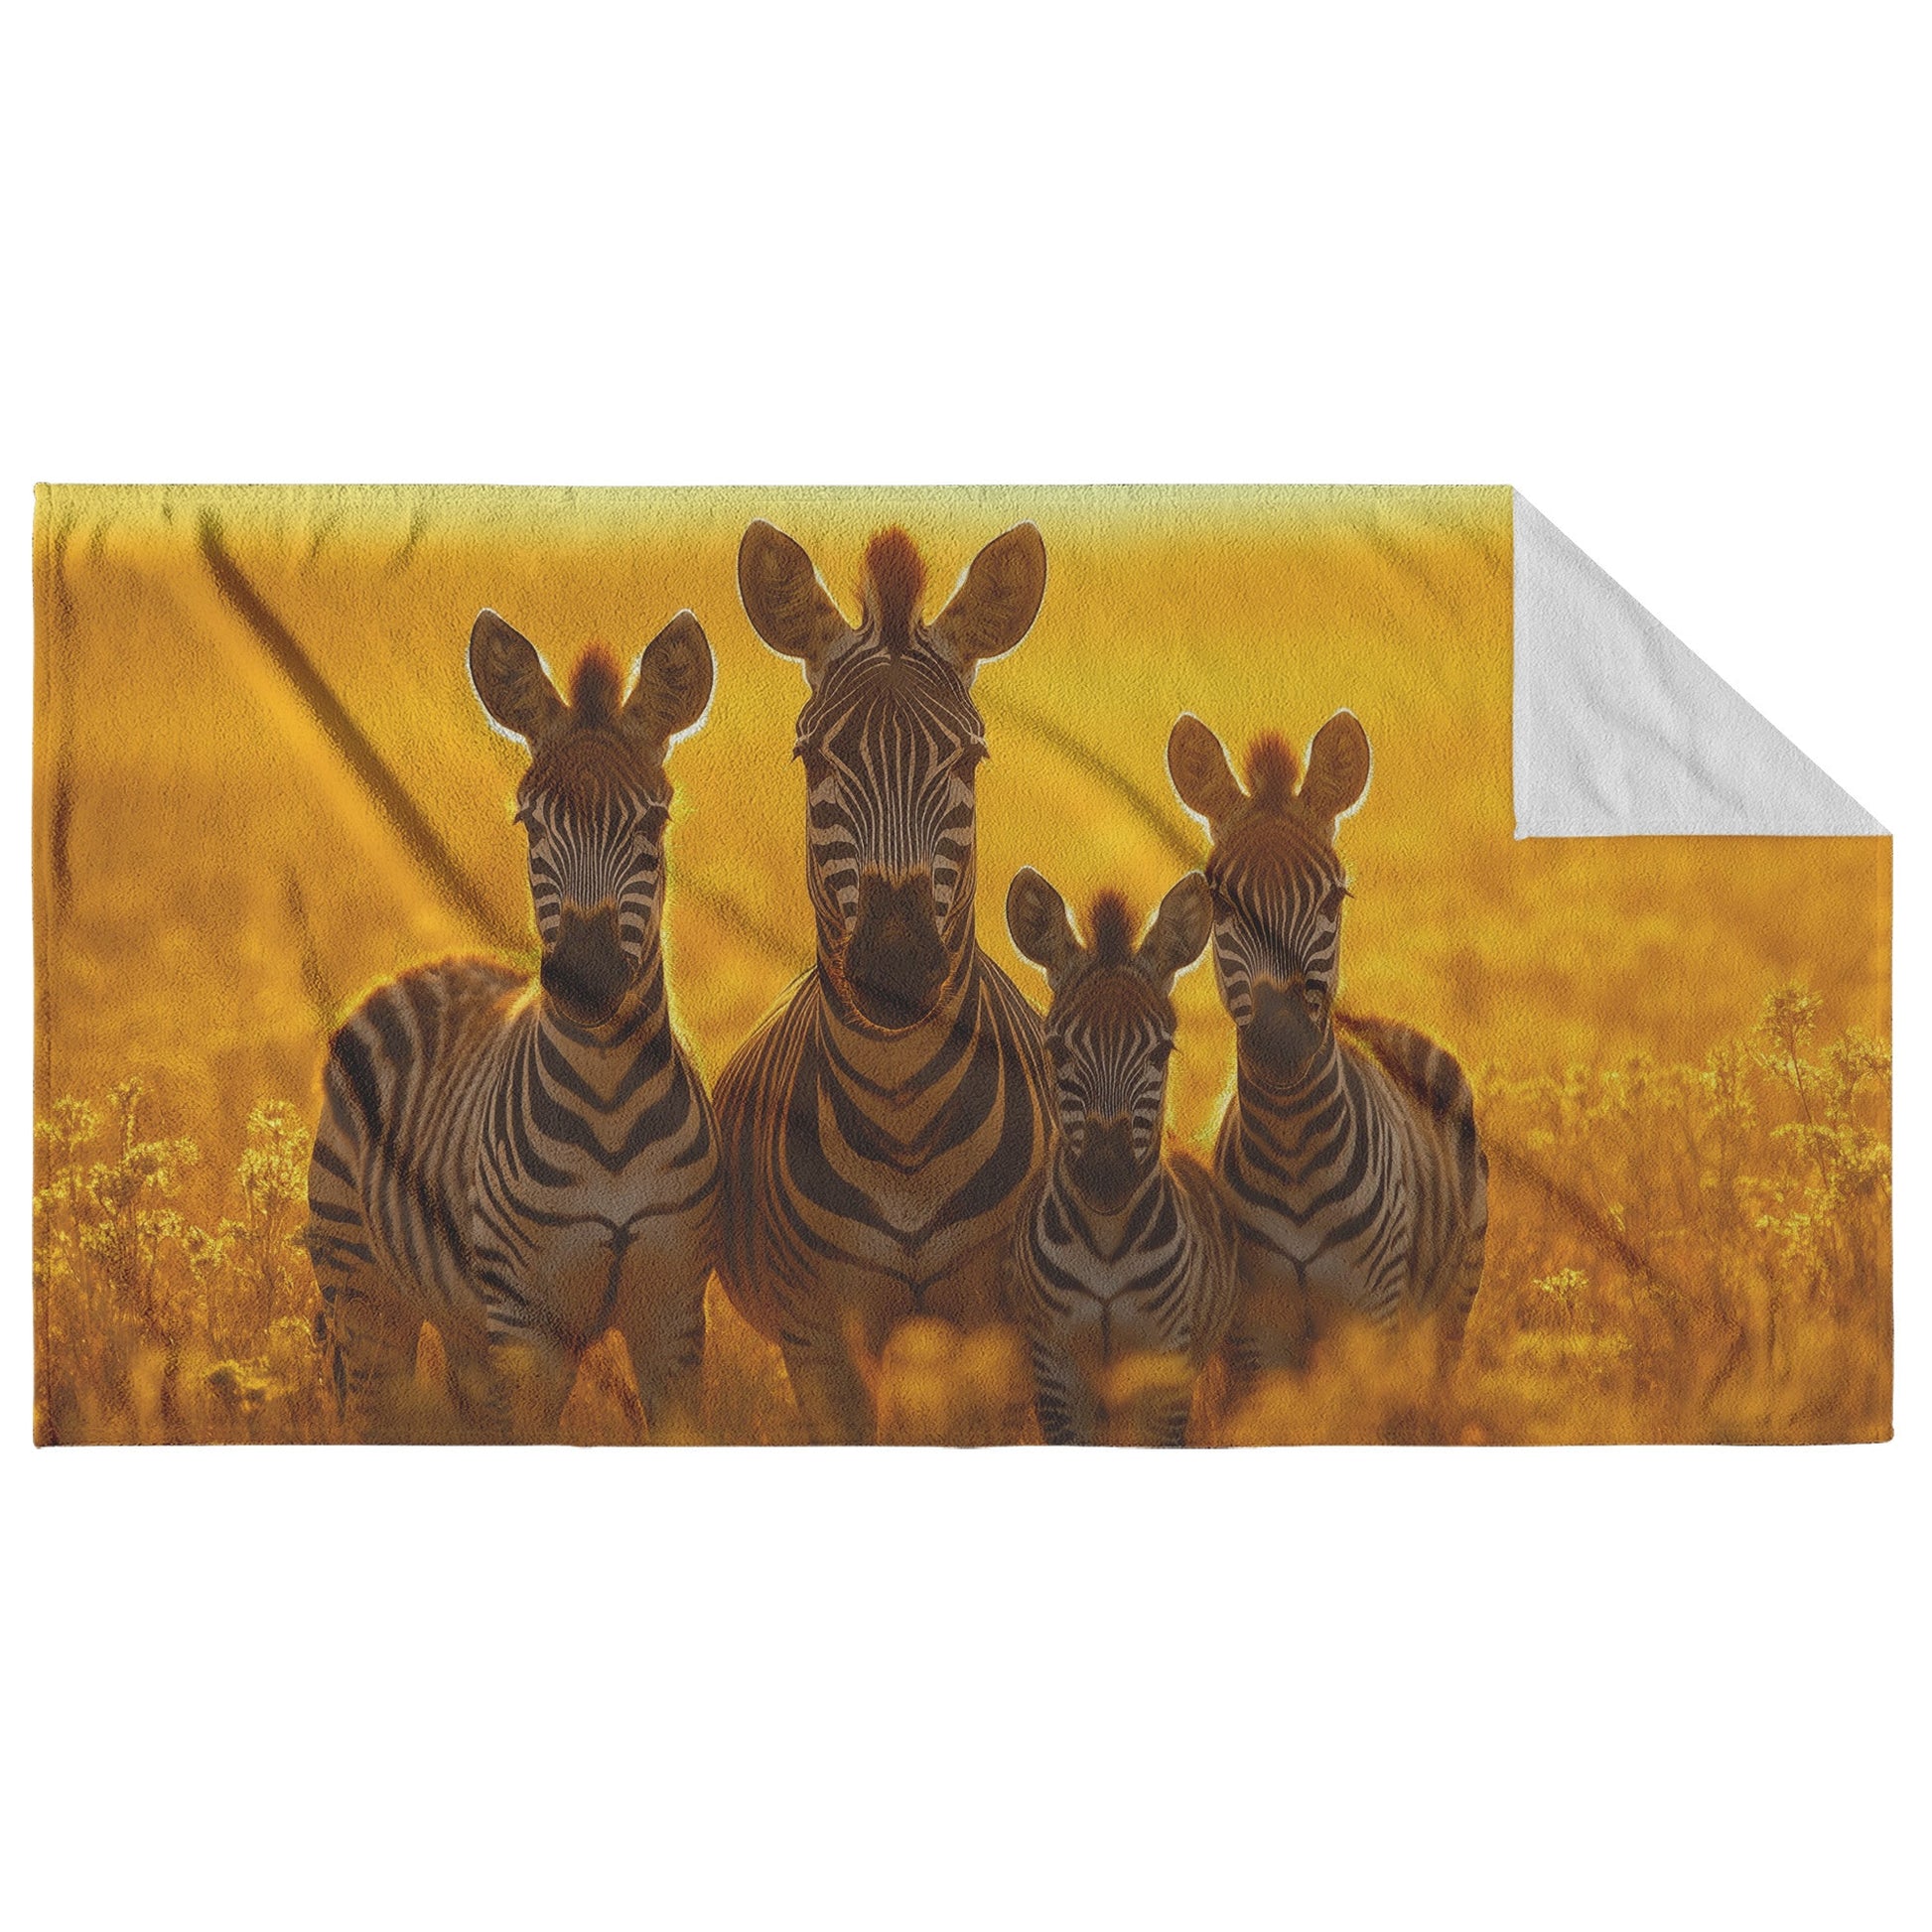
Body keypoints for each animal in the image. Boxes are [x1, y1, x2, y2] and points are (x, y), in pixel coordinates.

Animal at [306, 607, 719, 1443]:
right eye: (530, 824)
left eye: (654, 821)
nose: (587, 980)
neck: (609, 1097)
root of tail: (429, 965)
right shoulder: (527, 1327)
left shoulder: (672, 1315)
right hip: (363, 1293)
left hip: (462, 1319)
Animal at [713, 520, 1054, 1443]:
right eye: (812, 759)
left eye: (968, 761)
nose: (897, 965)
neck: (903, 1118)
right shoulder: (818, 1335)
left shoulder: (998, 1329)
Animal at [1003, 869, 1238, 1446]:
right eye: (1058, 1050)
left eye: (1160, 1052)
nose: (1106, 1180)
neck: (1107, 1244)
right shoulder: (1056, 1365)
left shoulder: (1165, 1363)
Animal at [1166, 710, 1488, 1399]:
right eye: (1221, 903)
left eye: (1335, 898)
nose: (1280, 1040)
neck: (1292, 1147)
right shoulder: (1255, 1335)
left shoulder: (1372, 1314)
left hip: (1451, 1302)